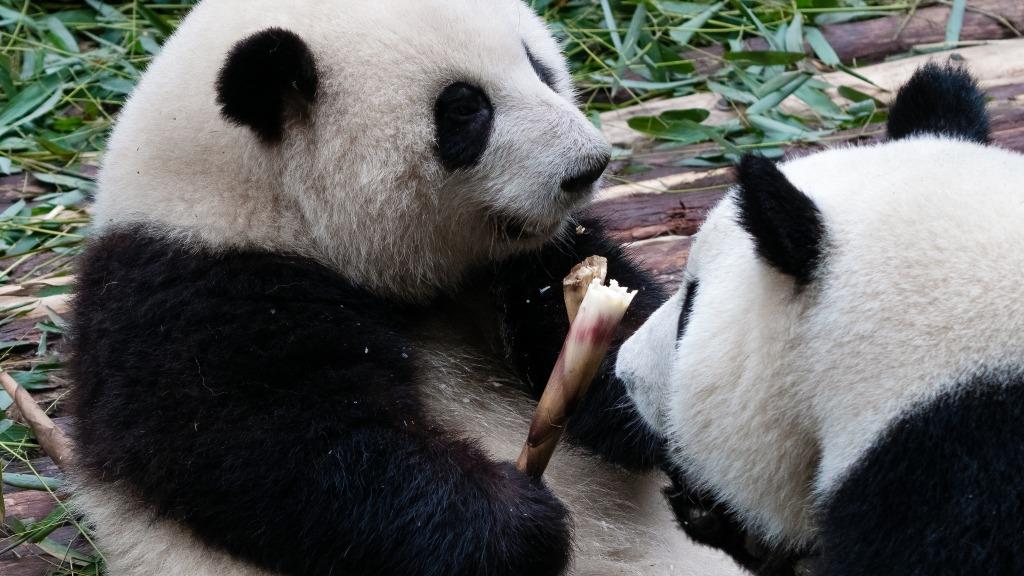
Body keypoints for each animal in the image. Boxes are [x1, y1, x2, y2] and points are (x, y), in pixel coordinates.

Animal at [65, 0, 744, 575]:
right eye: (464, 108)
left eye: (538, 65)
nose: (588, 166)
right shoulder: (186, 299)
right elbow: (286, 455)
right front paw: (515, 522)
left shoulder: (518, 259)